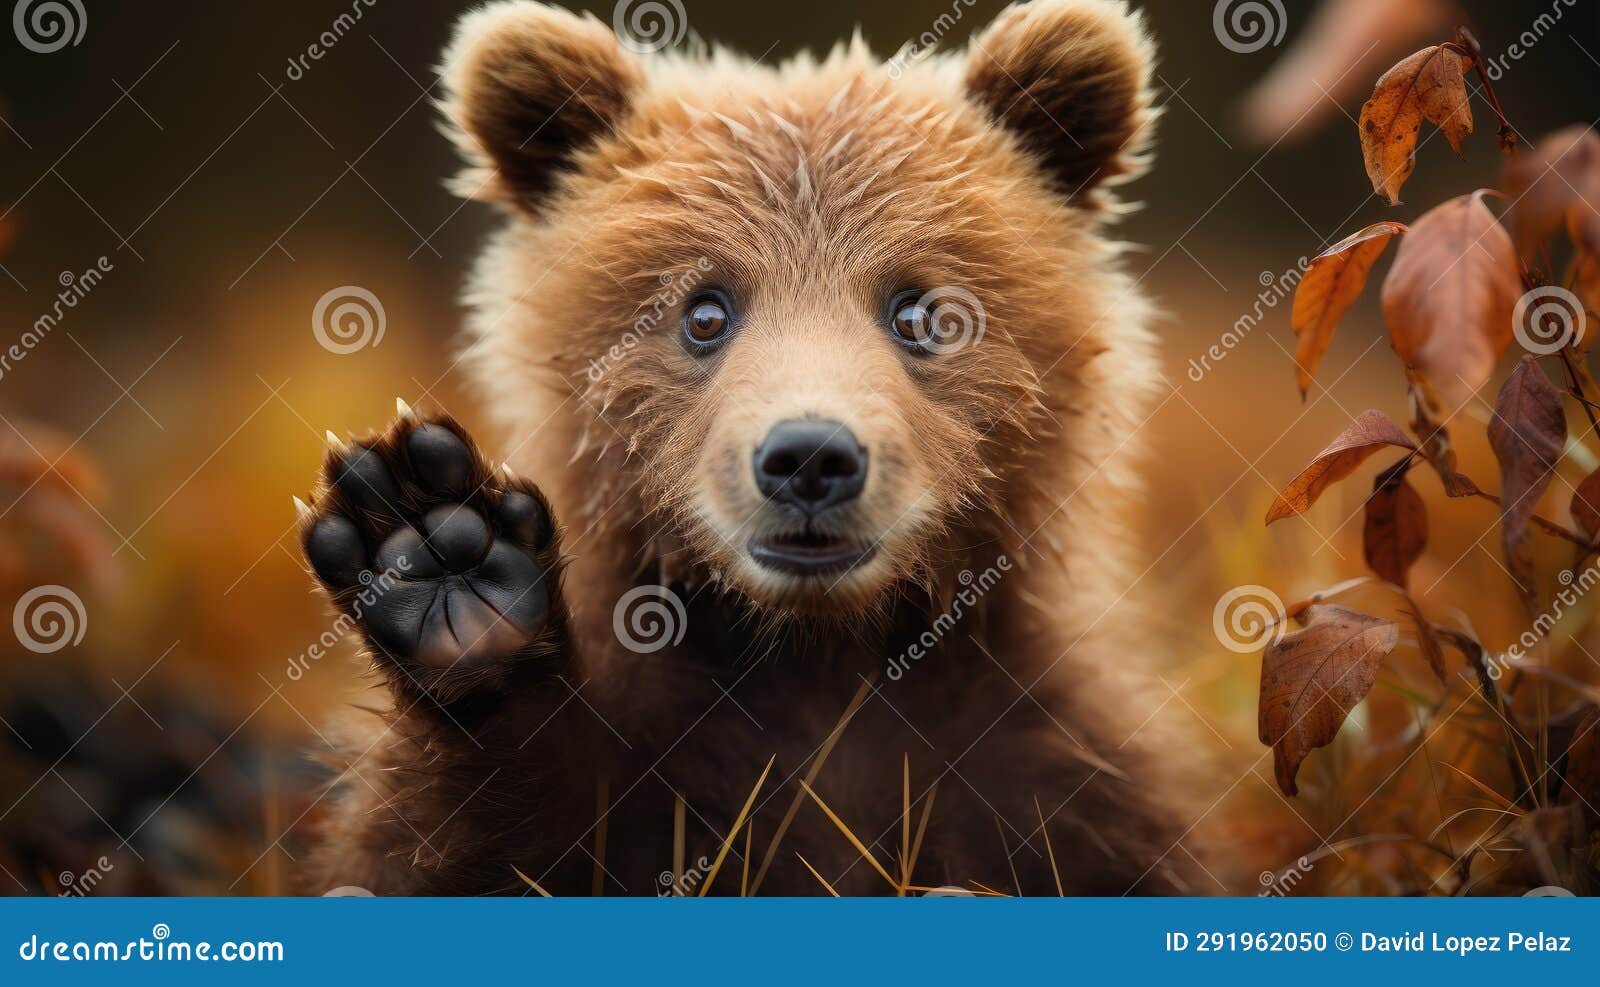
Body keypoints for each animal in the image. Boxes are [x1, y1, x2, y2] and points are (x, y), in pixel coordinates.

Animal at [294, 0, 1206, 896]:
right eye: (705, 310)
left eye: (921, 311)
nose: (809, 457)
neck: (818, 653)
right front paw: (439, 557)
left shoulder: (1056, 770)